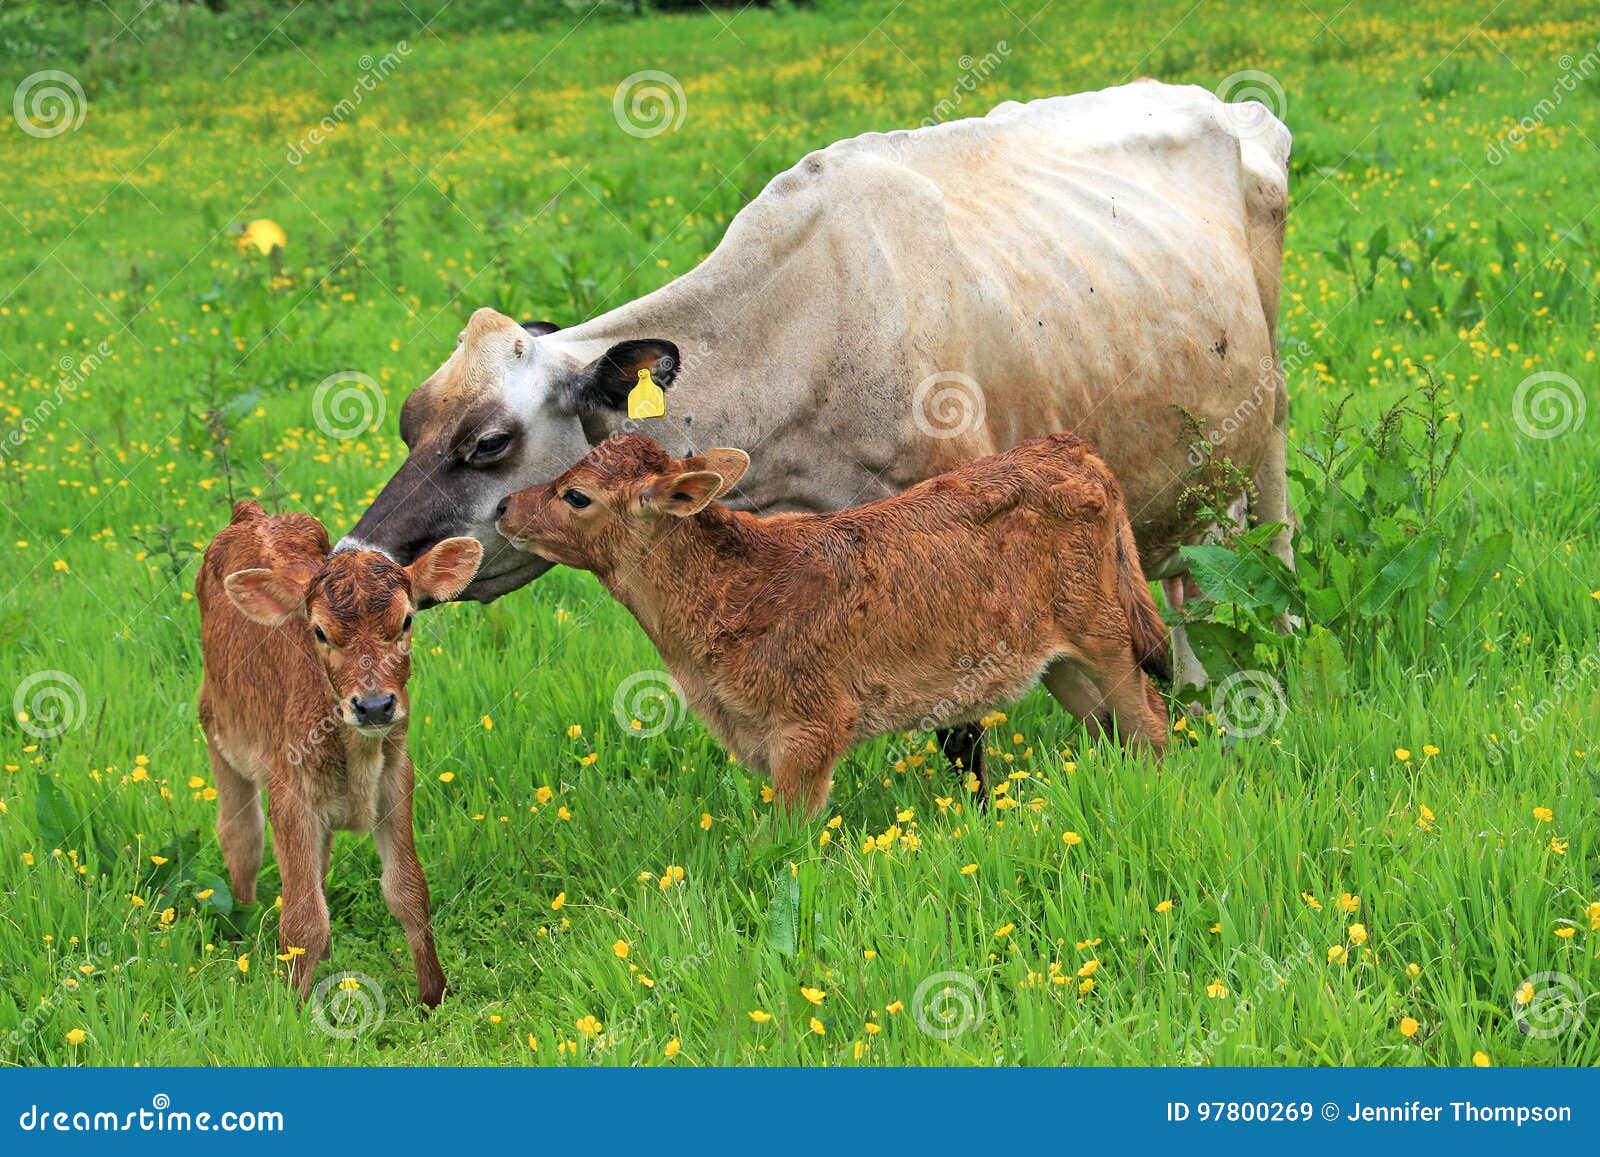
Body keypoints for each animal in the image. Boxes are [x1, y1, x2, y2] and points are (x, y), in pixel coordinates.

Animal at [196, 499, 482, 1004]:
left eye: (406, 620)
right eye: (320, 632)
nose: (374, 705)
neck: (356, 753)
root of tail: (253, 513)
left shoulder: (396, 777)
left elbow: (409, 890)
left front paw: (434, 995)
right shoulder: (289, 791)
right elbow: (302, 918)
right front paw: (291, 1008)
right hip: (217, 726)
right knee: (241, 837)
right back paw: (244, 924)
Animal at [341, 80, 1292, 773]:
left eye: (489, 443)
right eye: (407, 423)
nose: (357, 563)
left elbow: (960, 721)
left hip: (1269, 419)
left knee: (1269, 550)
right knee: (1179, 583)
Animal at [493, 433, 1169, 815]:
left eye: (576, 495)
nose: (503, 505)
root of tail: (1069, 449)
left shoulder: (809, 727)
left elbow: (786, 840)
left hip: (1105, 636)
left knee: (1151, 721)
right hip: (1058, 661)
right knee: (1111, 729)